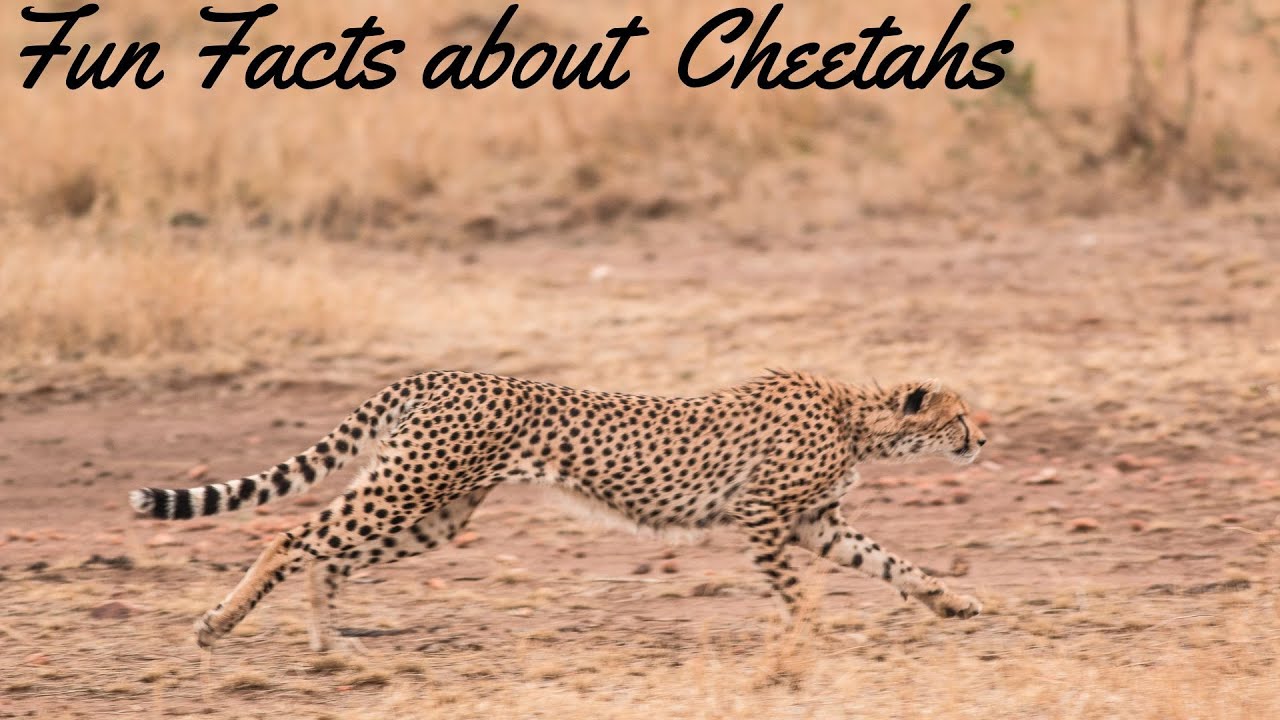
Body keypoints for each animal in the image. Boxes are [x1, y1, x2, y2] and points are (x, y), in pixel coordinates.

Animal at [130, 370, 987, 652]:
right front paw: (809, 637)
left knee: (326, 552)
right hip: (413, 490)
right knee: (292, 535)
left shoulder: (815, 522)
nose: (983, 438)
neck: (858, 418)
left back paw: (329, 641)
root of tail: (439, 375)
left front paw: (951, 601)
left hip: (433, 511)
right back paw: (218, 624)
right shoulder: (766, 518)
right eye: (957, 416)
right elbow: (800, 591)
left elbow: (891, 563)